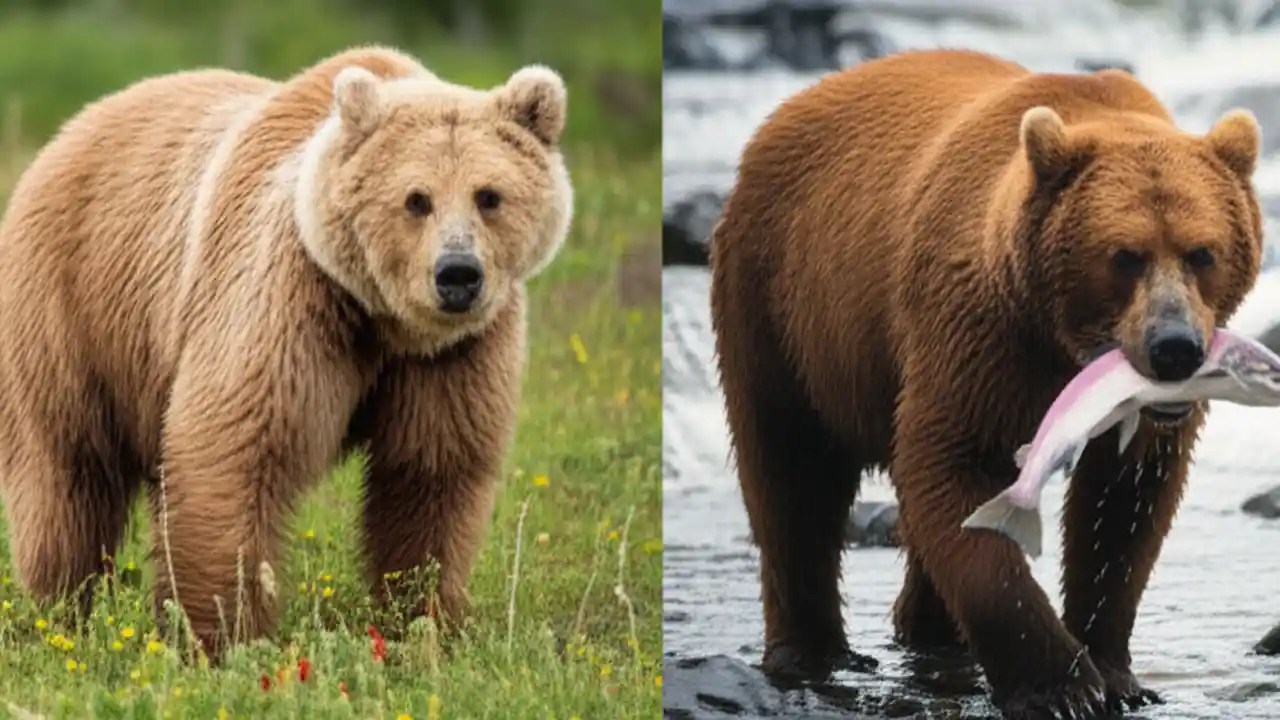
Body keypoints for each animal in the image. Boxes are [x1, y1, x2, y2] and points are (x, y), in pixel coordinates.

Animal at [0, 45, 572, 657]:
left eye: (489, 196)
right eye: (417, 199)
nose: (458, 274)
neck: (385, 320)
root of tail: (71, 127)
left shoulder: (454, 354)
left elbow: (429, 475)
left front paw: (421, 622)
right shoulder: (289, 294)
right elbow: (235, 446)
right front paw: (220, 635)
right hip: (72, 309)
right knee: (66, 477)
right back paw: (63, 612)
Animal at [710, 49, 1261, 719]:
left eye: (1202, 252)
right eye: (1124, 255)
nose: (1174, 347)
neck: (1059, 340)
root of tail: (787, 109)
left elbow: (1124, 505)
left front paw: (1115, 672)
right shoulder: (978, 336)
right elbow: (954, 466)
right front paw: (1062, 688)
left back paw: (929, 631)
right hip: (784, 306)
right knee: (793, 474)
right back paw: (812, 652)